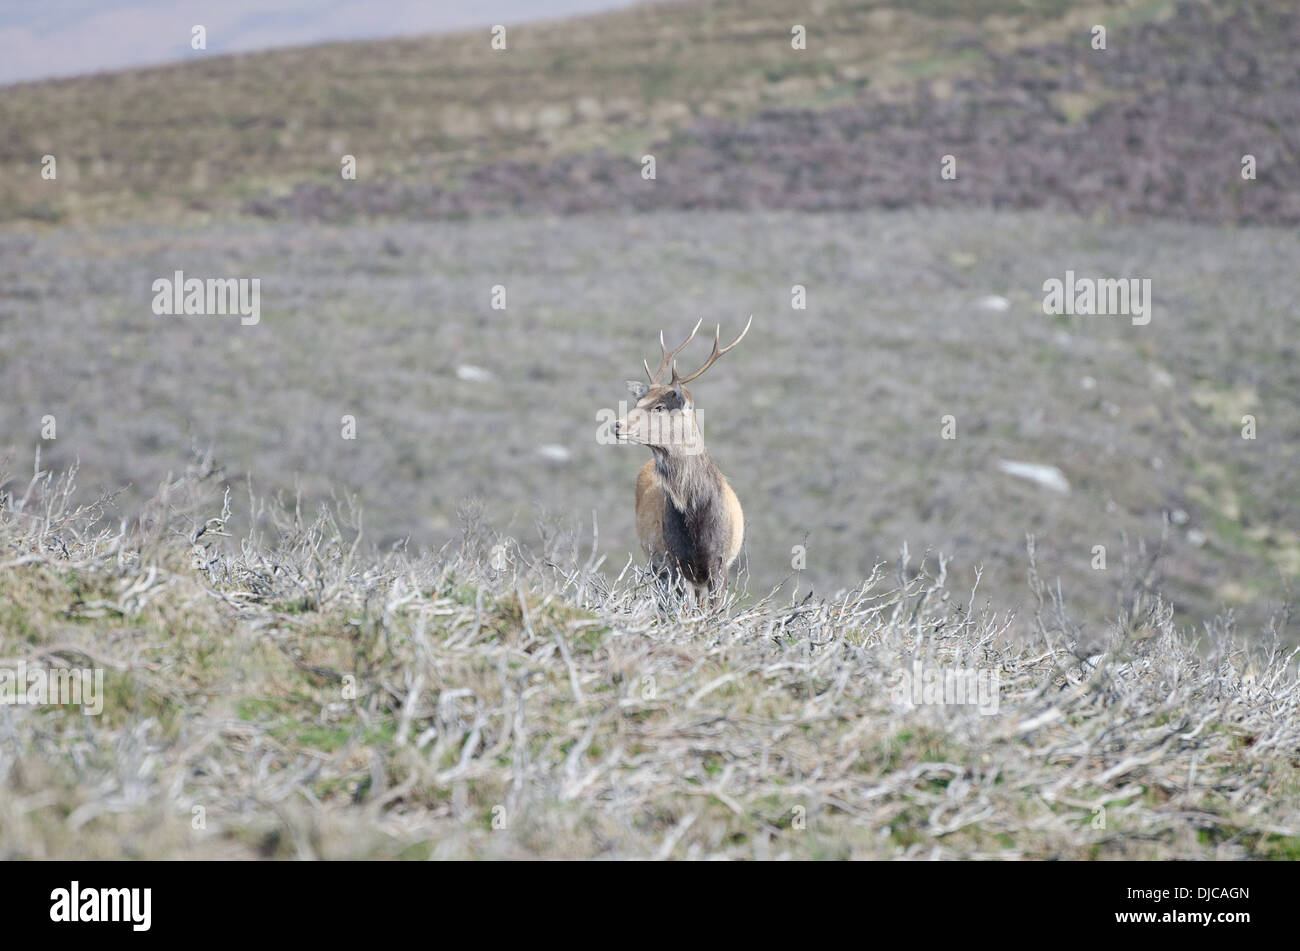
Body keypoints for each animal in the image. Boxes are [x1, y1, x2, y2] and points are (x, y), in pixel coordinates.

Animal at [613, 316, 752, 610]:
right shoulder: (676, 562)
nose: (616, 425)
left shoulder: (720, 564)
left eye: (659, 407)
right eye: (639, 401)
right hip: (656, 565)